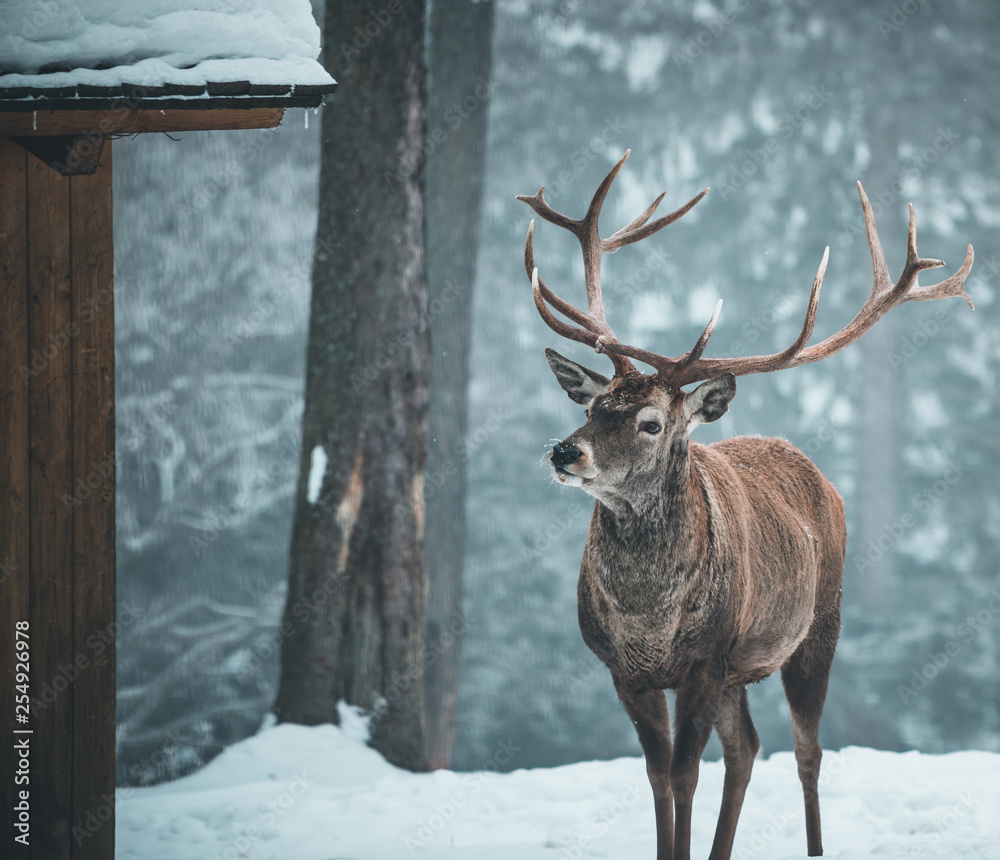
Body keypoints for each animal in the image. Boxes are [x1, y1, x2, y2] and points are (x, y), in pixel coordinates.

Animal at [516, 150, 974, 860]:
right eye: (594, 407)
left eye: (651, 423)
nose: (566, 452)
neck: (649, 622)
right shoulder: (625, 671)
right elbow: (657, 777)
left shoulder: (706, 659)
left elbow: (683, 776)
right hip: (740, 670)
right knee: (747, 749)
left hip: (820, 622)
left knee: (806, 750)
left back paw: (815, 845)